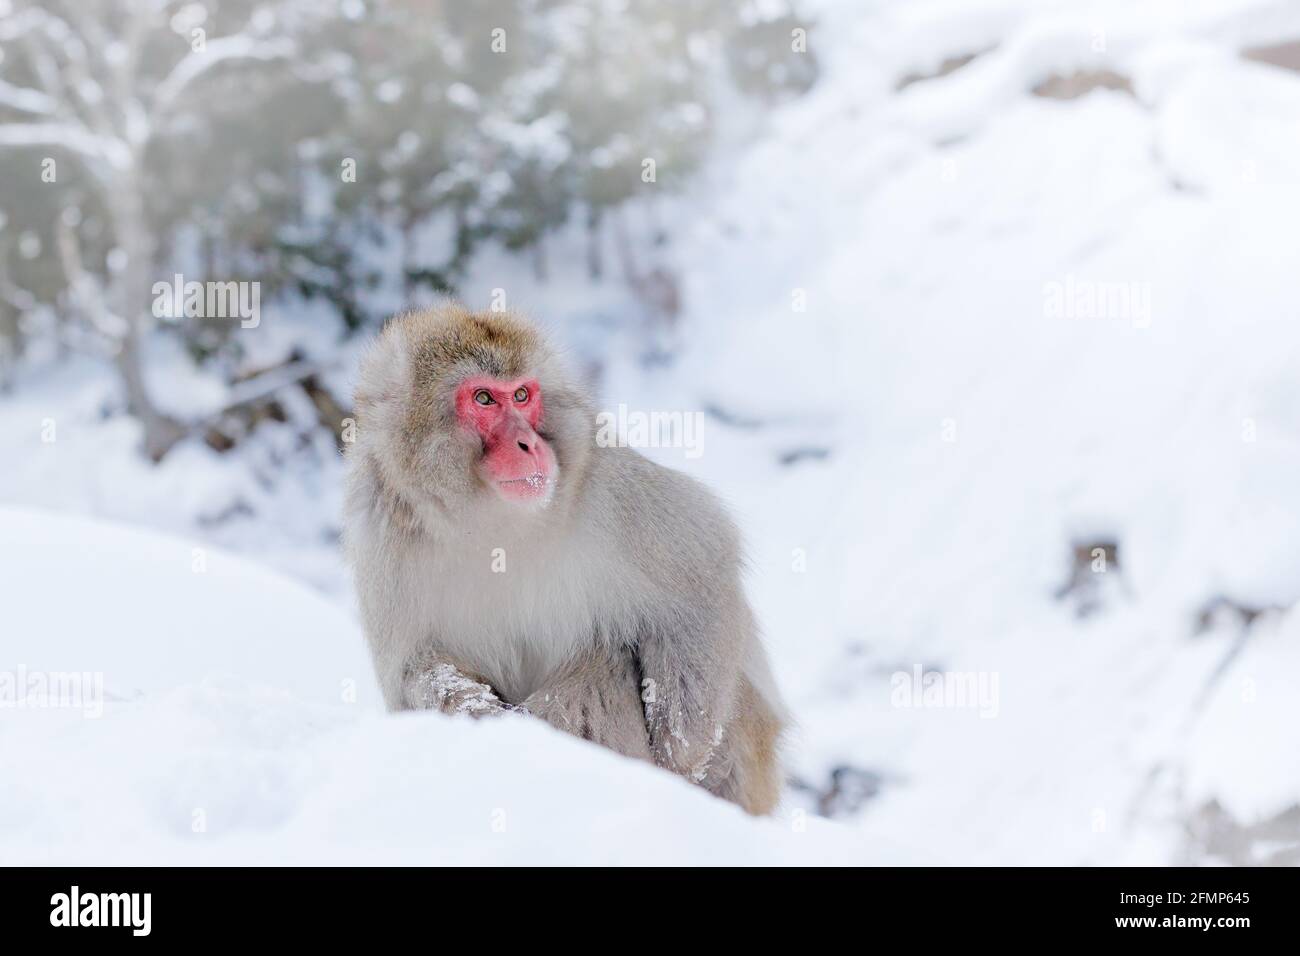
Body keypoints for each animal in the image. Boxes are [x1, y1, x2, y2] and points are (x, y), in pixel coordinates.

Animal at [341, 302, 787, 815]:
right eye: (484, 399)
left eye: (521, 395)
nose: (530, 444)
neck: (491, 521)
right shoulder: (382, 539)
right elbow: (412, 672)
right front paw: (468, 706)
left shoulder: (606, 487)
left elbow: (706, 573)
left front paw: (679, 749)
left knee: (608, 659)